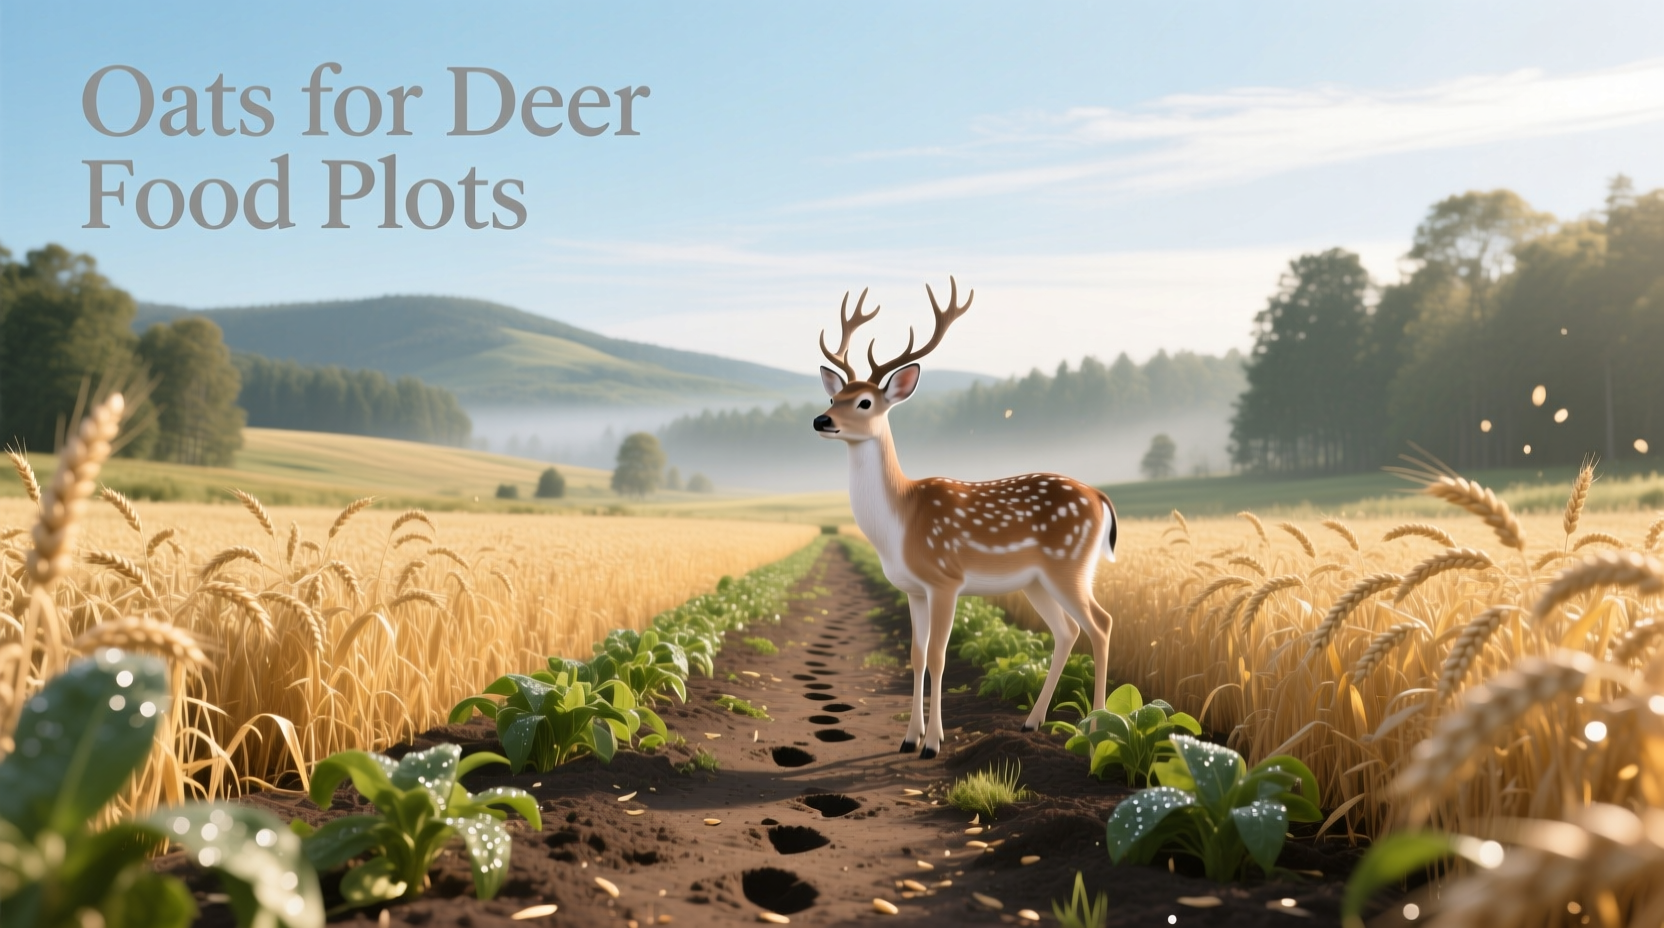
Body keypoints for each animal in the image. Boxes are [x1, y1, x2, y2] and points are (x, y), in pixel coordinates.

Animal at [813, 278, 1119, 759]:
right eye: (832, 395)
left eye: (863, 402)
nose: (821, 420)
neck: (901, 521)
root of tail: (1100, 497)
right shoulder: (913, 589)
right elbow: (917, 655)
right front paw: (908, 738)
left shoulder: (945, 579)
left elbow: (939, 656)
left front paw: (933, 744)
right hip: (1037, 580)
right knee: (1067, 630)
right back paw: (1032, 722)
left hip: (1068, 564)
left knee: (1100, 624)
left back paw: (1097, 728)